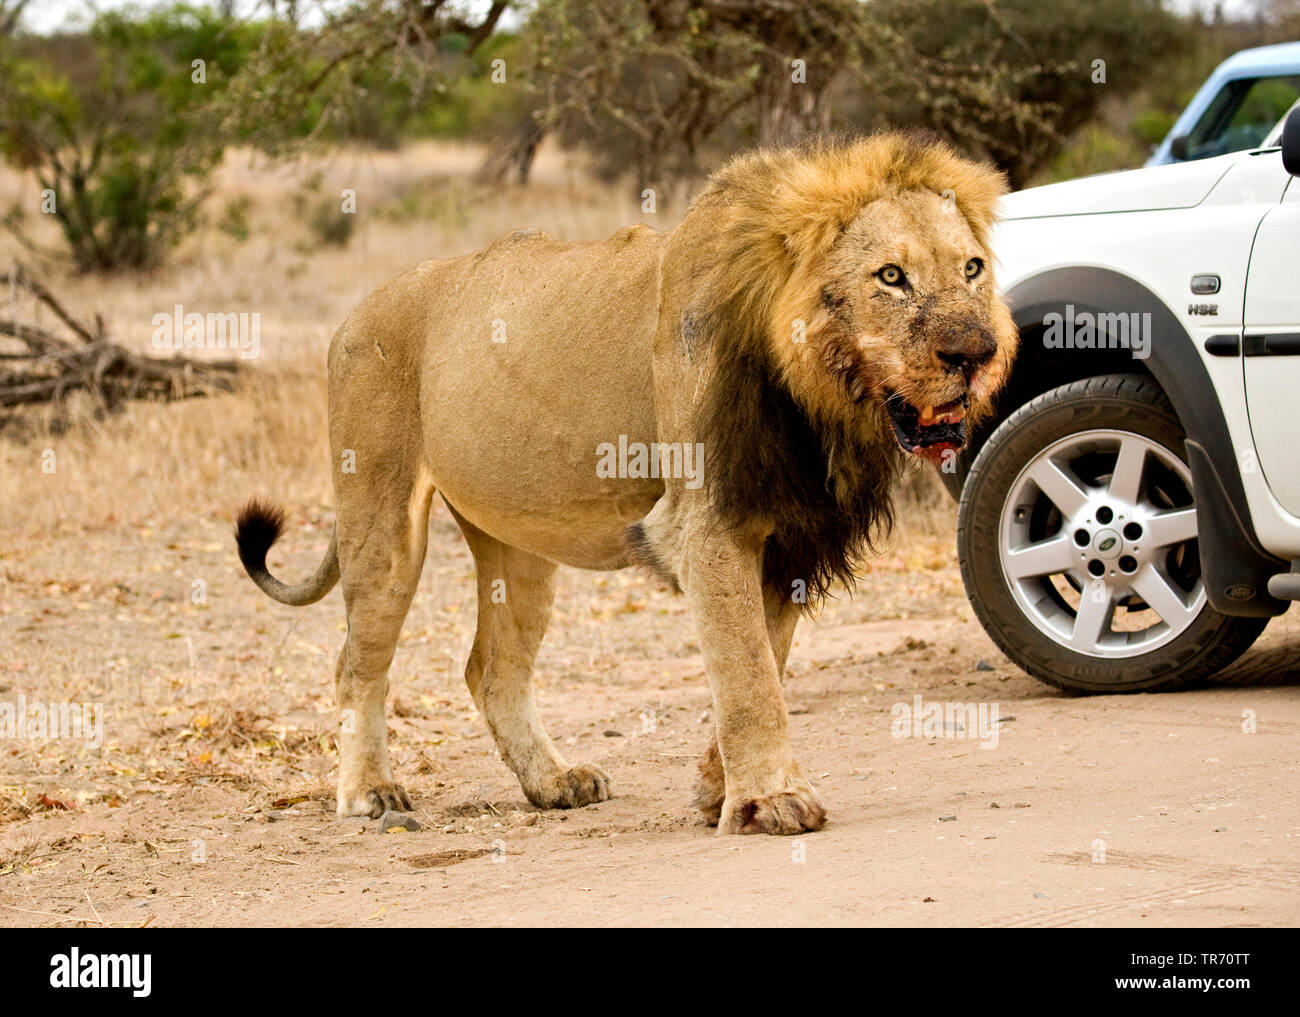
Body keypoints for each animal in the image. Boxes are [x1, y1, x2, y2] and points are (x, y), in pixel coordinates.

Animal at [236, 131, 1017, 835]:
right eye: (891, 276)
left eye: (972, 268)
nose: (976, 353)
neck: (822, 401)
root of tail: (352, 315)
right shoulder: (708, 521)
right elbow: (749, 674)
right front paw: (772, 801)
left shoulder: (792, 531)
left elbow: (765, 659)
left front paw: (719, 790)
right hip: (382, 515)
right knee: (356, 662)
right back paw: (369, 793)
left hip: (516, 541)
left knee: (491, 667)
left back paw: (554, 783)